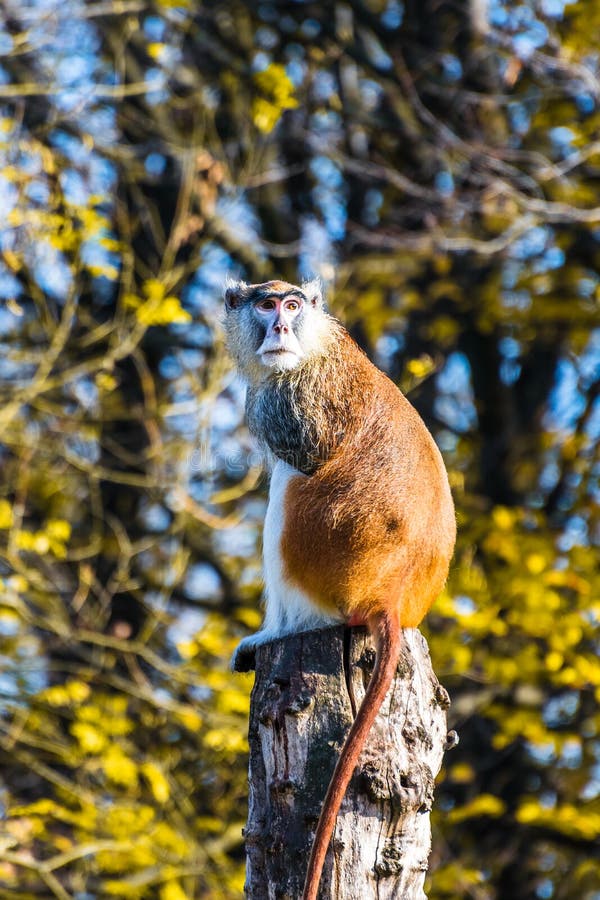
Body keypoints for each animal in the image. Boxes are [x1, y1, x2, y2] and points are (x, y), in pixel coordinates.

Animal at [223, 277, 456, 900]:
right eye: (265, 304)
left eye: (290, 304)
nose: (279, 326)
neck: (318, 343)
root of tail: (391, 598)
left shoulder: (284, 403)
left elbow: (299, 457)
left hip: (322, 551)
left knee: (290, 483)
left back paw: (284, 629)